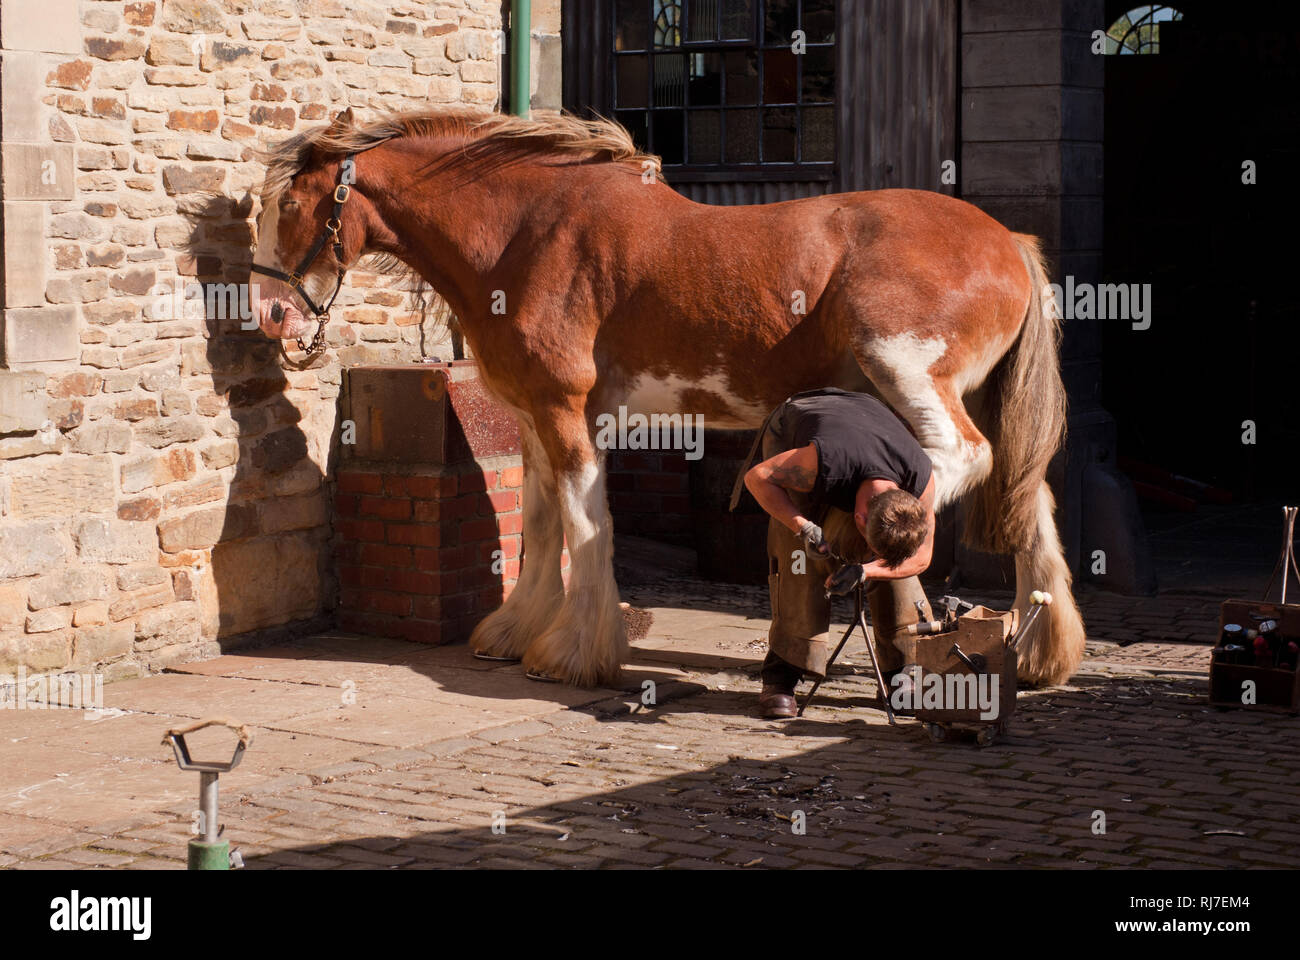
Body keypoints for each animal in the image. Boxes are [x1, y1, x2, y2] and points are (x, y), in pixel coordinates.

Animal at [250, 107, 1086, 688]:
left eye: (290, 207)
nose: (272, 316)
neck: (524, 233)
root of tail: (1007, 240)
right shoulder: (534, 417)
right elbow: (544, 523)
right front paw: (516, 633)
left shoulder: (567, 413)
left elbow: (586, 526)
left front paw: (575, 653)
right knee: (1029, 494)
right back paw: (1039, 653)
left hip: (906, 372)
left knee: (962, 459)